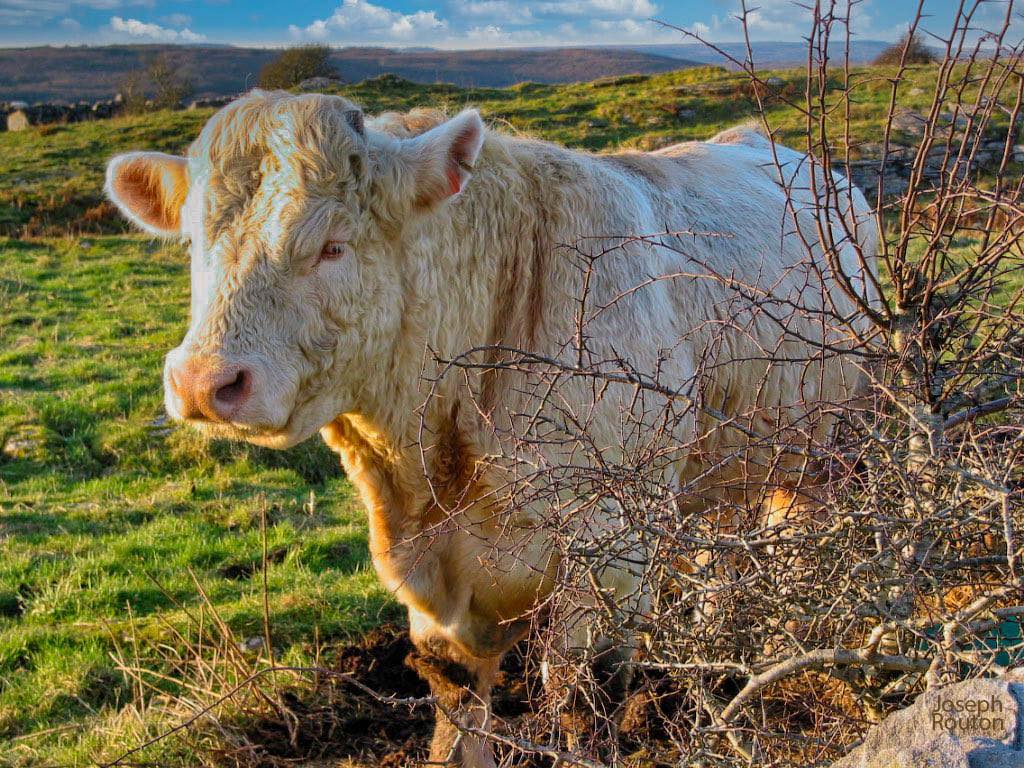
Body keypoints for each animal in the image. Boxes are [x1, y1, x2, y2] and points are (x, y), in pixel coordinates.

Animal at [105, 90, 878, 767]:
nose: (203, 382)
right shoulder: (436, 587)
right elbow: (457, 711)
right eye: (195, 244)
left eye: (332, 245)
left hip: (835, 443)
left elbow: (584, 705)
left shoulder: (613, 554)